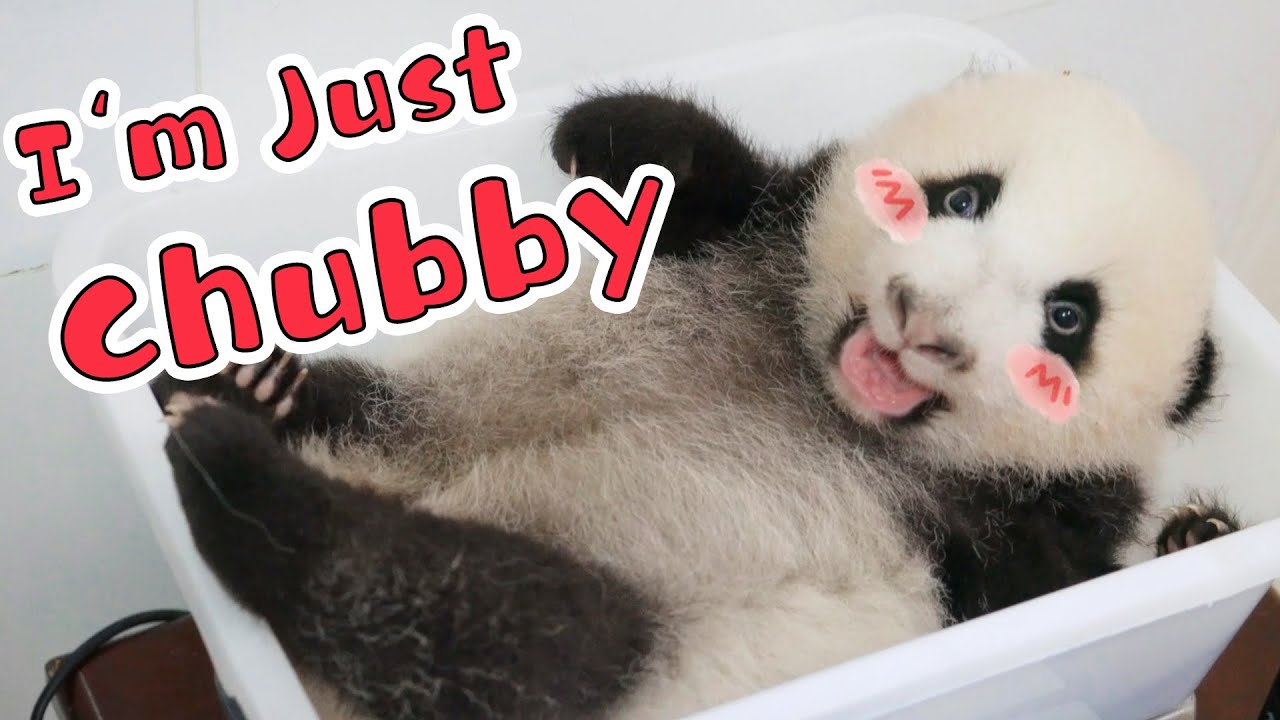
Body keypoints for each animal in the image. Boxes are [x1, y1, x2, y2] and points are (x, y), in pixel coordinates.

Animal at [151, 69, 1242, 720]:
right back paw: (248, 386)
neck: (835, 401)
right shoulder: (763, 245)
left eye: (1066, 318)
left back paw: (235, 477)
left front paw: (1197, 536)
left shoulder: (1015, 537)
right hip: (441, 411)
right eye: (963, 195)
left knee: (501, 630)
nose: (916, 318)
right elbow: (721, 186)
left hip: (660, 618)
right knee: (373, 413)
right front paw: (599, 135)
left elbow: (1066, 577)